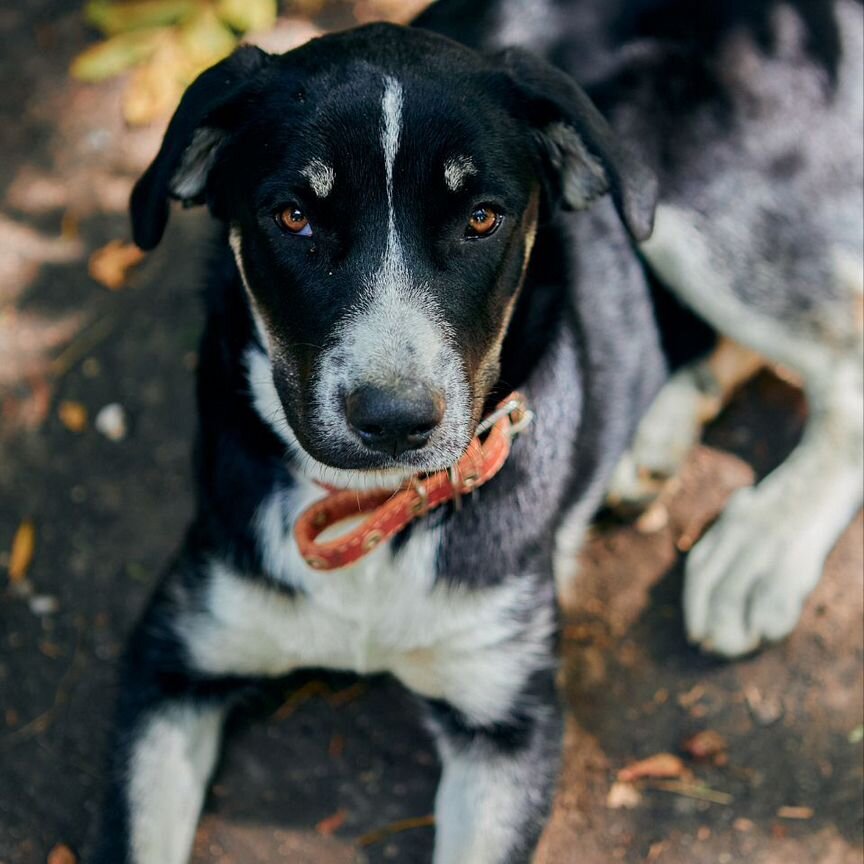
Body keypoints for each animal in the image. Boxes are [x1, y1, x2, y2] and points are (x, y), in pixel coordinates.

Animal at [96, 3, 864, 860]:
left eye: (482, 218)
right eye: (293, 217)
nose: (394, 420)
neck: (380, 511)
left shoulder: (508, 719)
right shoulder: (174, 658)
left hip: (700, 210)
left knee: (843, 363)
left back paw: (758, 550)